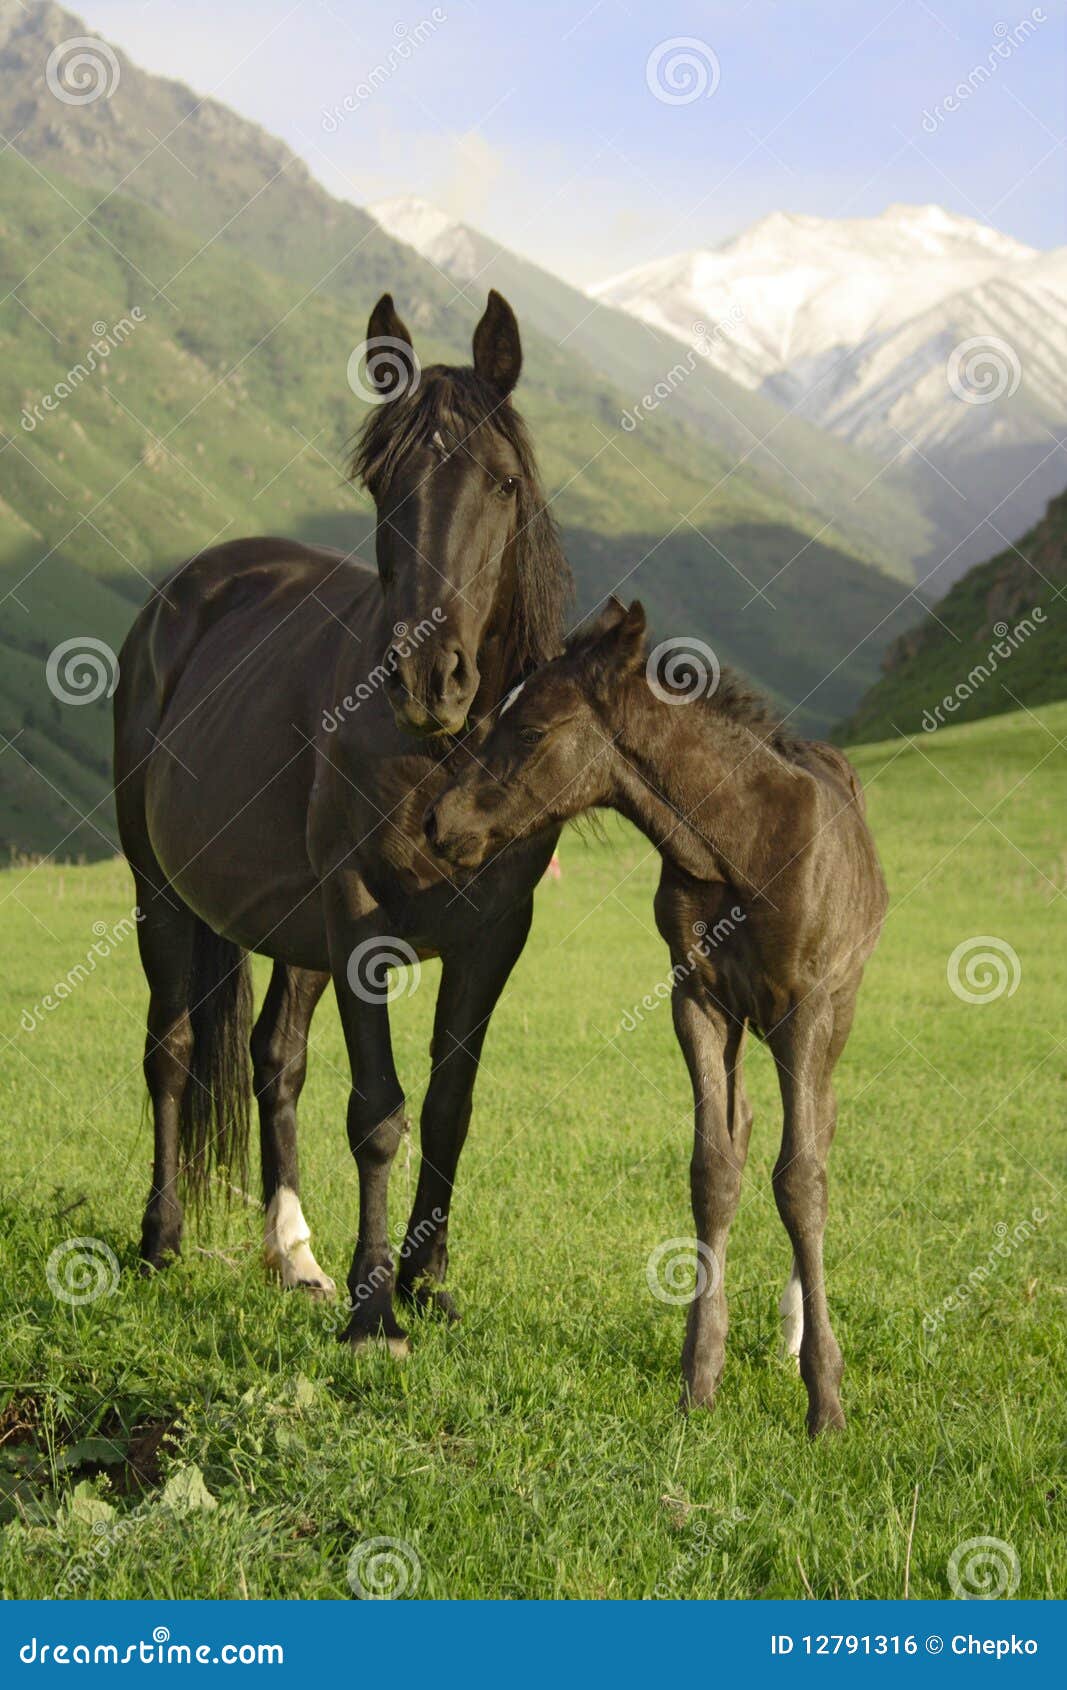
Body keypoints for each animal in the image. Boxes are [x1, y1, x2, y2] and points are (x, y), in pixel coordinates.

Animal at [113, 290, 571, 1352]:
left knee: (273, 1063)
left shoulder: (496, 933)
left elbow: (448, 1106)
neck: (449, 756)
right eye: (383, 488)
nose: (430, 679)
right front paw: (375, 1309)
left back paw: (295, 1258)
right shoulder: (359, 915)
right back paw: (161, 1240)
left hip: (296, 931)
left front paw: (427, 1285)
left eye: (500, 484)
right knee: (172, 1052)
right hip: (161, 891)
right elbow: (378, 1112)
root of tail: (182, 594)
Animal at [425, 599, 887, 1433]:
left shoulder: (803, 1007)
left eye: (532, 731)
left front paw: (826, 1401)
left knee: (823, 1125)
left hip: (837, 1009)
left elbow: (801, 1178)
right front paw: (698, 1379)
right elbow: (714, 1168)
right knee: (747, 1124)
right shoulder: (695, 997)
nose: (437, 823)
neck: (737, 847)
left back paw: (795, 1334)